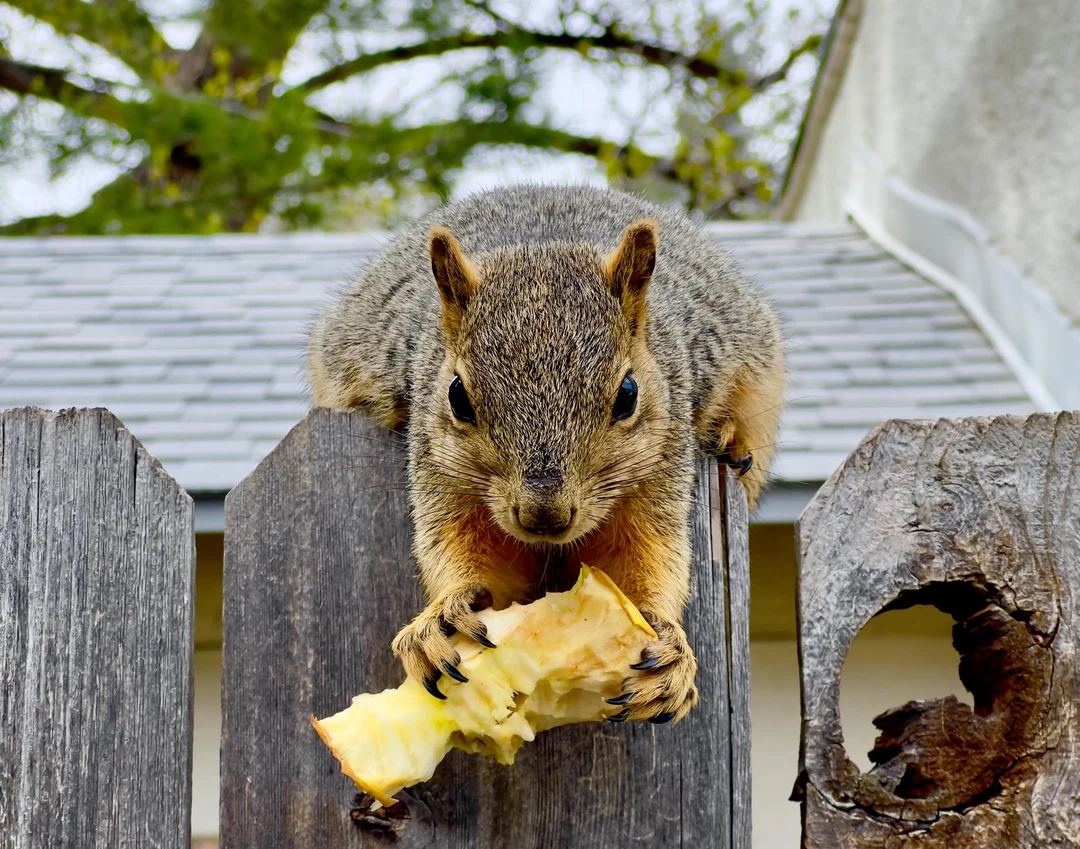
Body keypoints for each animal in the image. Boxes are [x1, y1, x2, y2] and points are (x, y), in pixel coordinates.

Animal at [307, 184, 785, 724]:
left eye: (627, 395)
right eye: (457, 396)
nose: (544, 516)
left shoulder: (660, 471)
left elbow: (649, 560)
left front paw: (671, 653)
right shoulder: (440, 474)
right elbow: (460, 551)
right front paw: (444, 616)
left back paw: (728, 438)